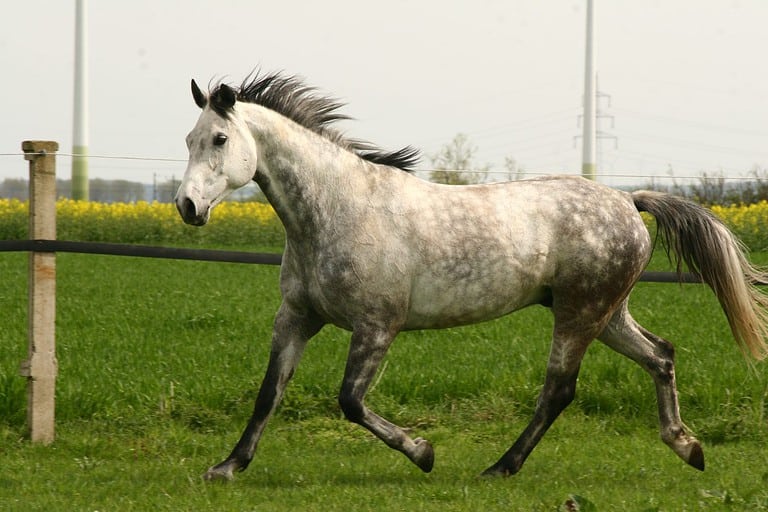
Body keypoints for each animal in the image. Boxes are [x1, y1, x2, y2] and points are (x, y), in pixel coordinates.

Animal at [174, 71, 768, 481]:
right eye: (188, 139)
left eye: (220, 140)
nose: (187, 206)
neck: (338, 210)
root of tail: (628, 200)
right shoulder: (297, 317)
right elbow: (268, 393)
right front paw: (227, 467)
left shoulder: (377, 326)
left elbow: (350, 401)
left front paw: (424, 453)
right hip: (606, 312)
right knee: (661, 355)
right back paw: (688, 447)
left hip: (580, 313)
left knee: (560, 388)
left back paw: (500, 468)